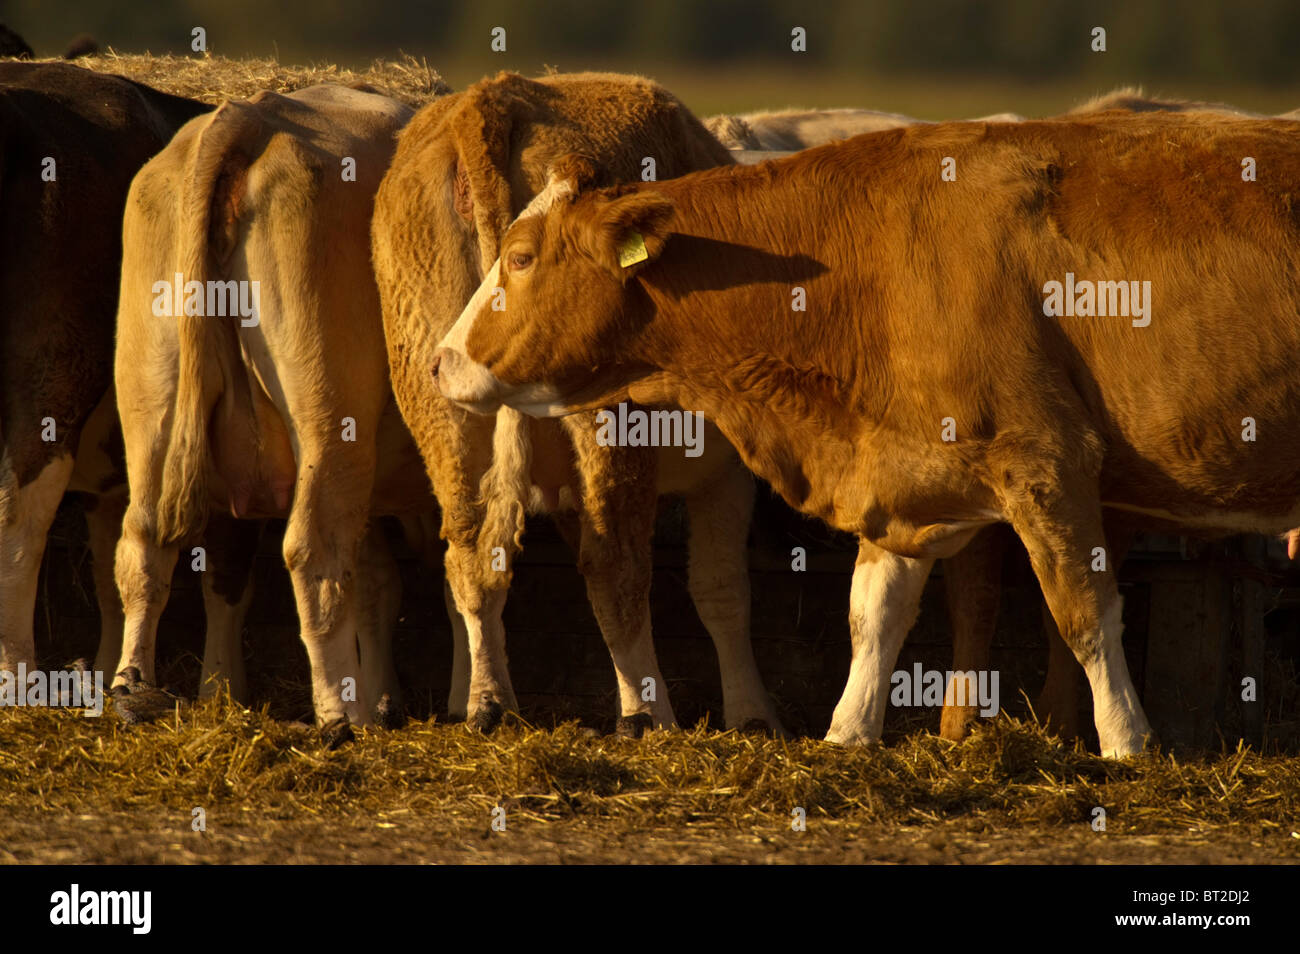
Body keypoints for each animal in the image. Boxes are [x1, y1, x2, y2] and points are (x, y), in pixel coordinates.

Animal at [113, 85, 427, 739]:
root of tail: (257, 113)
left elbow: (381, 580)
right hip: (329, 418)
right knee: (314, 555)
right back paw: (338, 717)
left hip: (152, 399)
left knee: (142, 543)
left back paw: (131, 689)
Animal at [372, 71, 785, 736]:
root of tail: (492, 98)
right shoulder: (724, 471)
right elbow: (722, 589)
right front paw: (752, 713)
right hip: (611, 425)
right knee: (618, 567)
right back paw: (647, 715)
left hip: (444, 410)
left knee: (469, 556)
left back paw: (488, 702)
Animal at [433, 112, 1300, 758]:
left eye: (520, 257)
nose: (441, 362)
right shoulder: (901, 470)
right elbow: (872, 614)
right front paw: (847, 733)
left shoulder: (1046, 459)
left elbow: (1084, 613)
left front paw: (1126, 741)